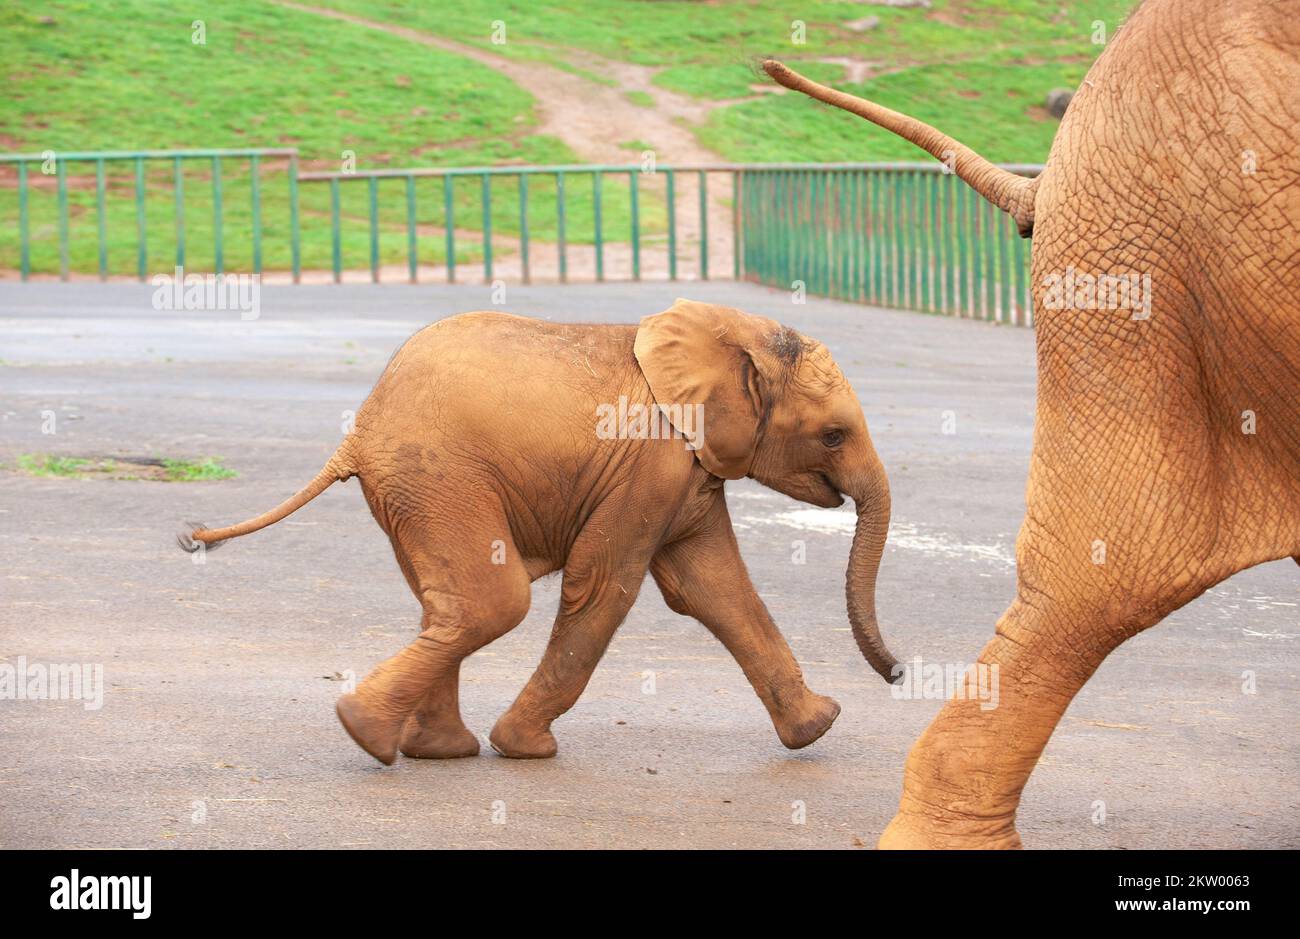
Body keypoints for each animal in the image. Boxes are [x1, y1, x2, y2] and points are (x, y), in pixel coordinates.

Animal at [181, 299, 899, 763]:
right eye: (833, 435)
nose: (895, 673)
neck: (730, 332)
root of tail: (357, 430)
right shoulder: (650, 463)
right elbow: (603, 586)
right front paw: (525, 749)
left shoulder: (686, 471)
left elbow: (713, 587)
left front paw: (818, 727)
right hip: (438, 475)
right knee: (492, 601)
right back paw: (368, 733)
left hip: (414, 491)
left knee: (446, 603)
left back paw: (435, 750)